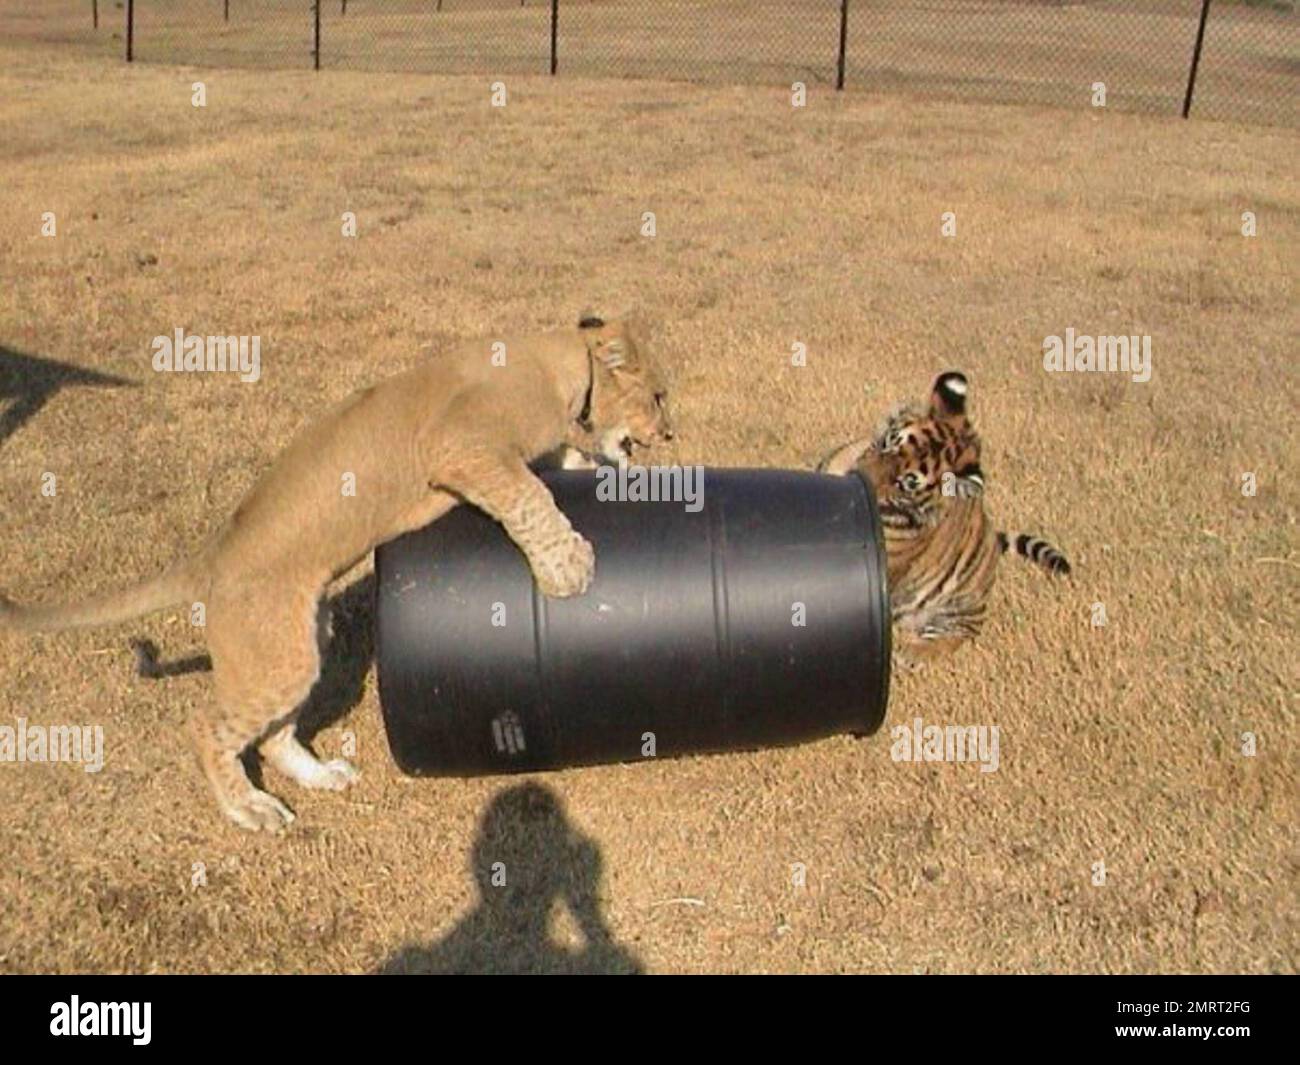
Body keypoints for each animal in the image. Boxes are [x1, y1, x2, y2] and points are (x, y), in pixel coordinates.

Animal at [0, 314, 673, 831]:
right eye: (659, 395)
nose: (671, 432)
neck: (563, 362)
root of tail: (214, 554)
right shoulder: (462, 447)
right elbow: (529, 497)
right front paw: (569, 568)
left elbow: (556, 467)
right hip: (275, 657)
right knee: (207, 727)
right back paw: (252, 810)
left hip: (301, 642)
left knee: (272, 734)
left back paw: (322, 775)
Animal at [818, 371, 1069, 665]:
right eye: (890, 443)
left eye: (905, 483)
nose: (855, 477)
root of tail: (993, 544)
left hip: (961, 610)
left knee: (952, 636)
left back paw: (910, 651)